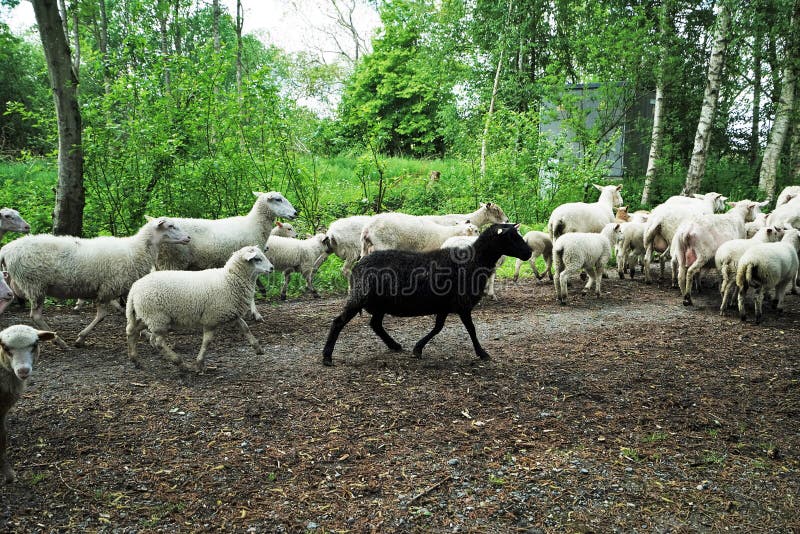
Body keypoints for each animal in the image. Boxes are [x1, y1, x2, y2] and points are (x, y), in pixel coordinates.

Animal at [0, 217, 191, 349]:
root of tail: (7, 249)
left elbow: (127, 313)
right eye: (171, 226)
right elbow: (102, 316)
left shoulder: (120, 288)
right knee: (36, 316)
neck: (137, 250)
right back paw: (60, 341)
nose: (188, 238)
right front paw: (80, 338)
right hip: (35, 284)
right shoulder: (107, 288)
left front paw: (144, 332)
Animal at [126, 246, 272, 372]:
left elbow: (245, 327)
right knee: (158, 342)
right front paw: (199, 363)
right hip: (157, 317)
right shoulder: (211, 319)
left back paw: (135, 360)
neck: (229, 280)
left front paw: (258, 348)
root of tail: (134, 289)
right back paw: (180, 363)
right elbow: (207, 342)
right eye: (257, 259)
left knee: (132, 332)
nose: (272, 268)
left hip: (146, 316)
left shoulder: (232, 313)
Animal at [322, 224, 532, 365]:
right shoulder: (462, 303)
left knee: (375, 324)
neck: (474, 261)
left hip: (380, 302)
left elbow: (438, 327)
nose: (529, 252)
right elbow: (471, 329)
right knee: (339, 322)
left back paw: (394, 345)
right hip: (360, 296)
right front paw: (482, 353)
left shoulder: (445, 305)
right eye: (512, 237)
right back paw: (327, 356)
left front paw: (418, 349)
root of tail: (358, 266)